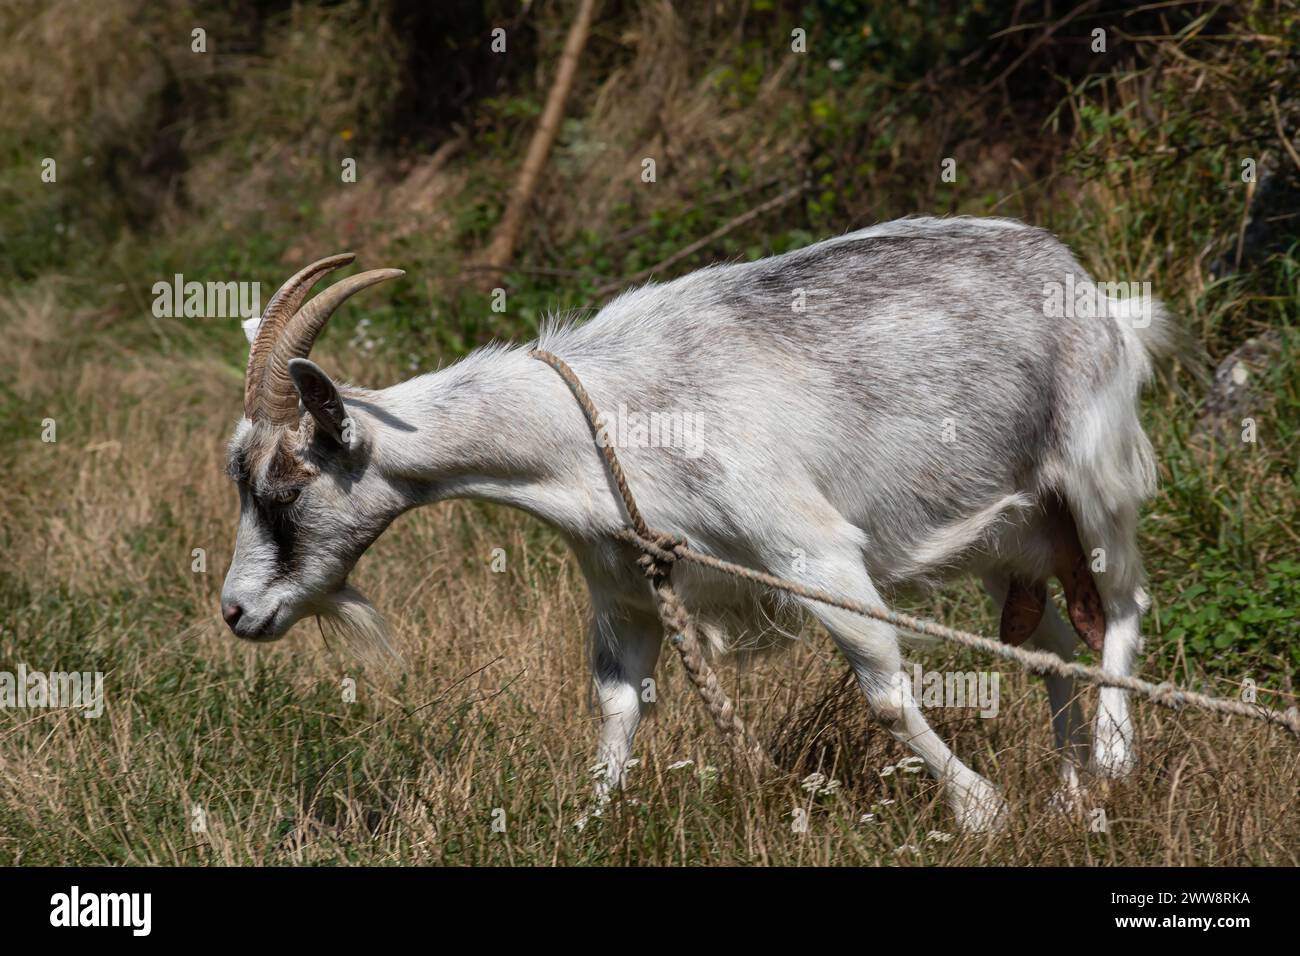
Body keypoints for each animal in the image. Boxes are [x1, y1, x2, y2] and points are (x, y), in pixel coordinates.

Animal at [221, 216, 1172, 830]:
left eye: (284, 488)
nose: (235, 611)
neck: (599, 426)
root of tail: (1097, 293)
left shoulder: (812, 550)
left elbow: (886, 691)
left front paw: (980, 810)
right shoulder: (628, 590)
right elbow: (617, 707)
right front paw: (589, 827)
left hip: (1091, 473)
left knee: (1124, 605)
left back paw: (1115, 764)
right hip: (1007, 536)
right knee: (1048, 636)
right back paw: (1071, 791)